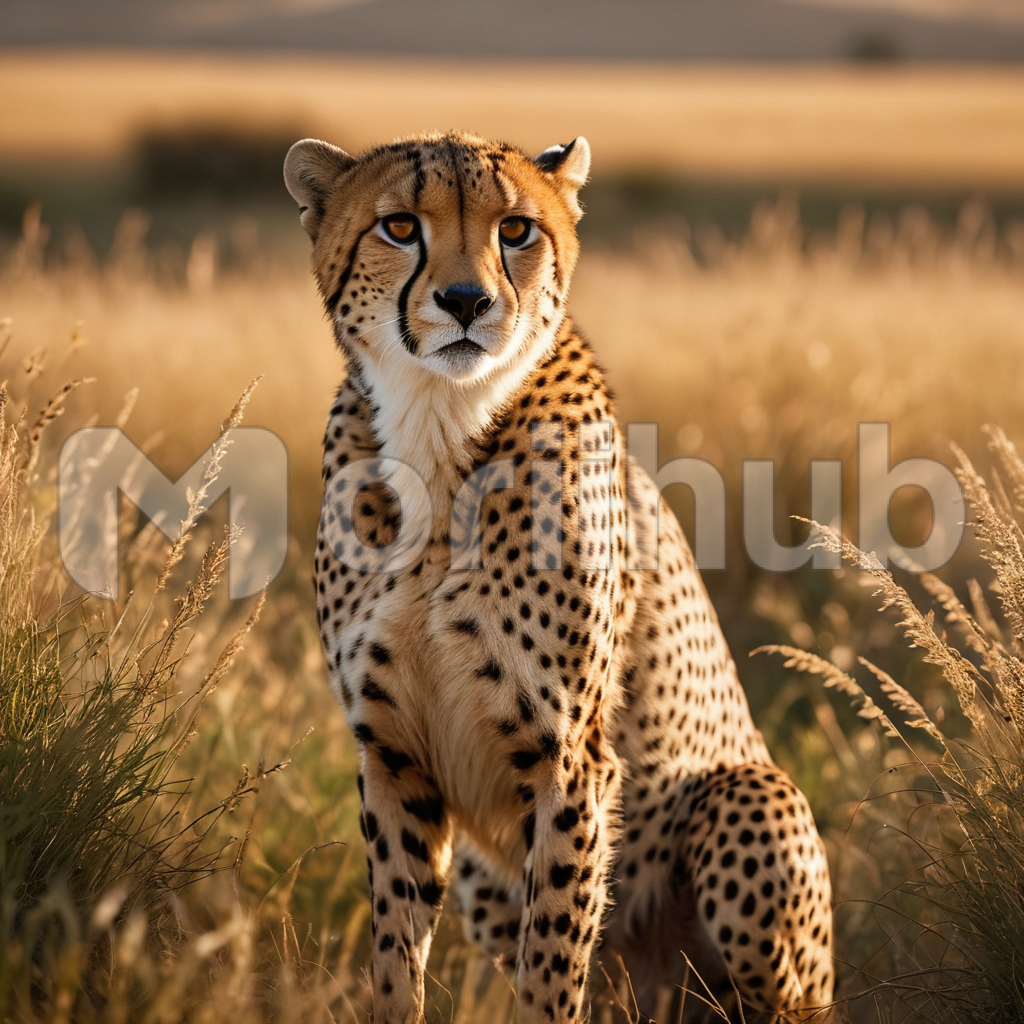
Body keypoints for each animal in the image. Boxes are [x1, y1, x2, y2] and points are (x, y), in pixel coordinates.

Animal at [284, 129, 834, 1023]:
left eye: (515, 230)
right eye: (399, 226)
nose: (466, 300)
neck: (440, 424)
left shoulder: (571, 758)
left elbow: (553, 959)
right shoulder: (393, 753)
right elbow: (396, 954)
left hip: (748, 800)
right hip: (485, 878)